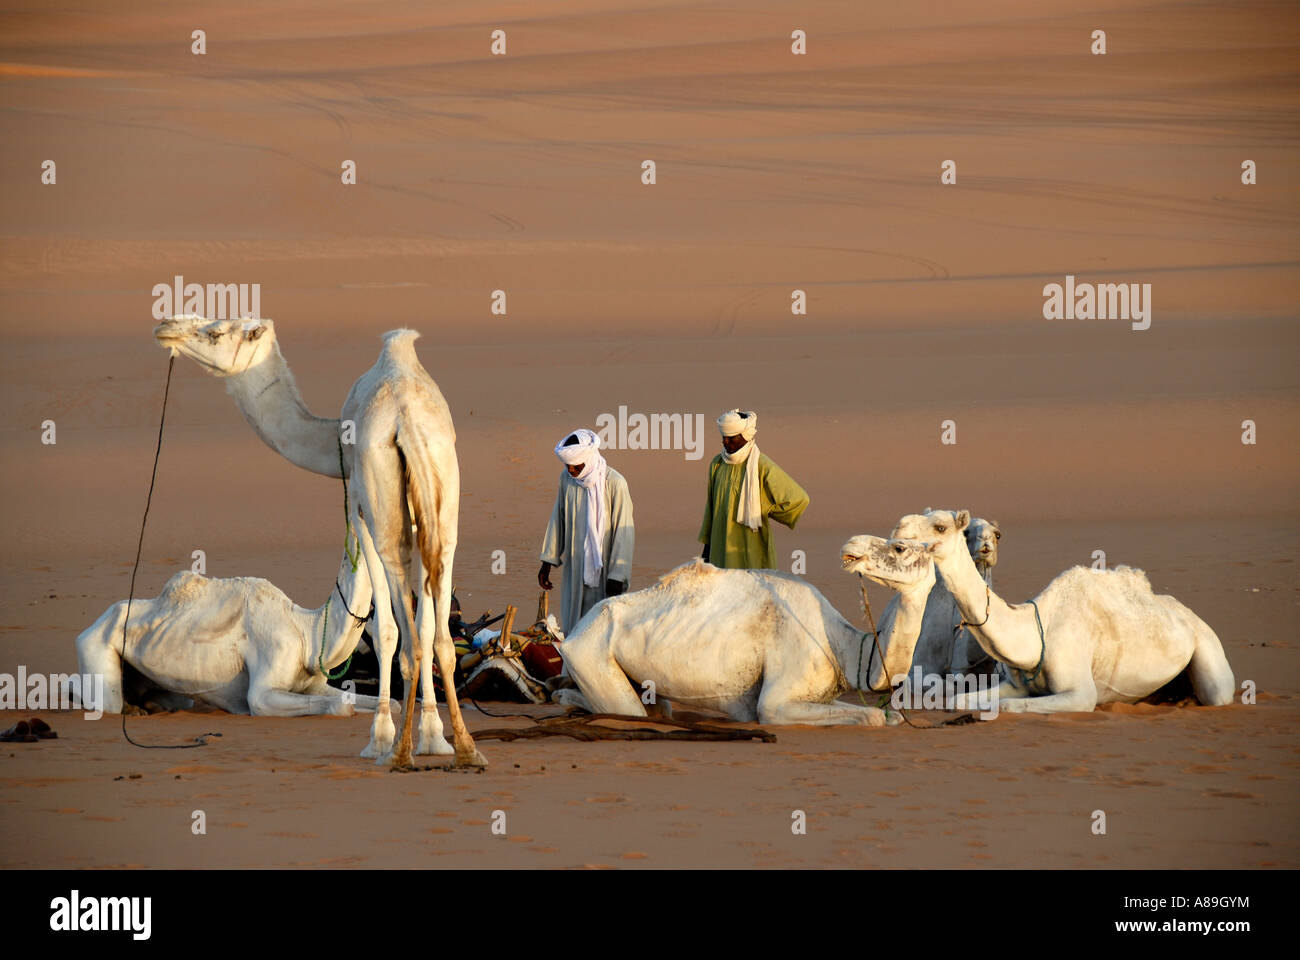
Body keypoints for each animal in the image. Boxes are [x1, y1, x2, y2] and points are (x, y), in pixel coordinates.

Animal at [75, 543, 387, 717]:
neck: (307, 631)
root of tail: (89, 627)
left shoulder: (315, 686)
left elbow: (385, 704)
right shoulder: (262, 694)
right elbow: (341, 706)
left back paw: (148, 707)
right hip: (94, 647)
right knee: (102, 698)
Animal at [154, 316, 484, 767]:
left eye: (217, 331)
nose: (167, 327)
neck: (333, 438)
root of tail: (407, 420)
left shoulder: (358, 508)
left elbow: (386, 631)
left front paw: (379, 739)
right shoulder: (424, 522)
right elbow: (426, 620)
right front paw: (435, 738)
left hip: (382, 511)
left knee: (405, 636)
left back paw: (397, 752)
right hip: (446, 505)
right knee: (439, 632)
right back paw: (466, 749)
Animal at [552, 558, 905, 726]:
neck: (843, 645)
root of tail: (575, 629)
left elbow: (889, 716)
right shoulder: (776, 702)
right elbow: (873, 716)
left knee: (657, 709)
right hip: (588, 652)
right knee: (629, 710)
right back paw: (560, 695)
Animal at [881, 509, 1236, 713]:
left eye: (941, 527)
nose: (898, 530)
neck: (1035, 632)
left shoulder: (1080, 693)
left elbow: (1011, 707)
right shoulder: (1017, 683)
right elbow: (959, 700)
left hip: (1208, 649)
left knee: (1218, 693)